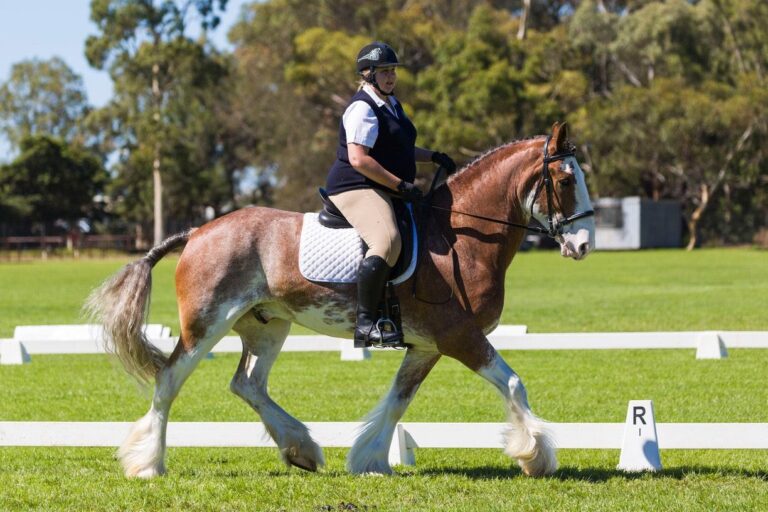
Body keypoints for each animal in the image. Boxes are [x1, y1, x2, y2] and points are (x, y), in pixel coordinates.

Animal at [85, 121, 595, 479]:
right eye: (566, 180)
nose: (585, 245)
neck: (462, 235)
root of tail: (197, 231)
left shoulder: (427, 345)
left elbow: (398, 400)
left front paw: (370, 458)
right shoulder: (460, 337)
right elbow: (513, 384)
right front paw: (536, 455)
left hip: (267, 325)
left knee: (248, 384)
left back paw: (301, 449)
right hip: (205, 324)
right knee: (169, 380)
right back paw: (148, 464)